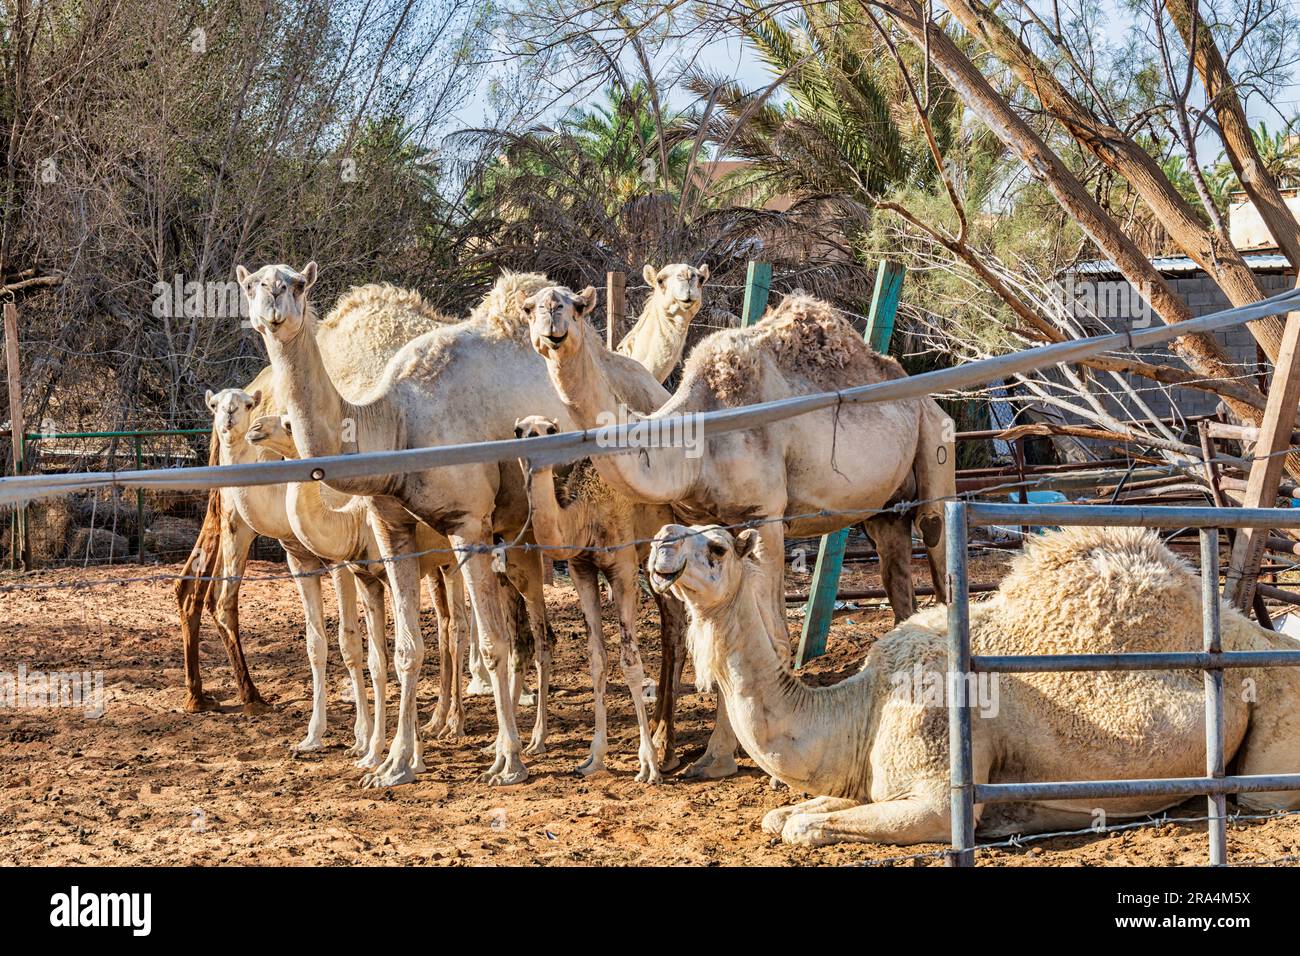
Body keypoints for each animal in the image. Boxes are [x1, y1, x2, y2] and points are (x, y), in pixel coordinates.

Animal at [245, 413, 472, 758]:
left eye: (288, 424)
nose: (254, 428)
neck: (353, 520)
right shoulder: (367, 578)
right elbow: (376, 660)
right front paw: (369, 749)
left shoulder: (385, 574)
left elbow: (392, 650)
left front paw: (402, 748)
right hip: (437, 566)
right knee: (448, 624)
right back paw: (437, 721)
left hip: (455, 556)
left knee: (462, 625)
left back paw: (456, 724)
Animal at [514, 414, 686, 782]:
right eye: (519, 430)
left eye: (551, 429)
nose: (534, 438)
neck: (587, 515)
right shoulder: (581, 568)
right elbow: (597, 658)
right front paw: (594, 757)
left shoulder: (622, 567)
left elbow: (630, 661)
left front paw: (647, 765)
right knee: (674, 624)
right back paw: (663, 736)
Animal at [648, 522, 1300, 846]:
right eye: (670, 529)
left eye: (716, 545)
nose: (660, 547)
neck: (864, 705)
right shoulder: (873, 784)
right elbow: (784, 817)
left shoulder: (937, 789)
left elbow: (802, 827)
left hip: (1271, 735)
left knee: (1254, 798)